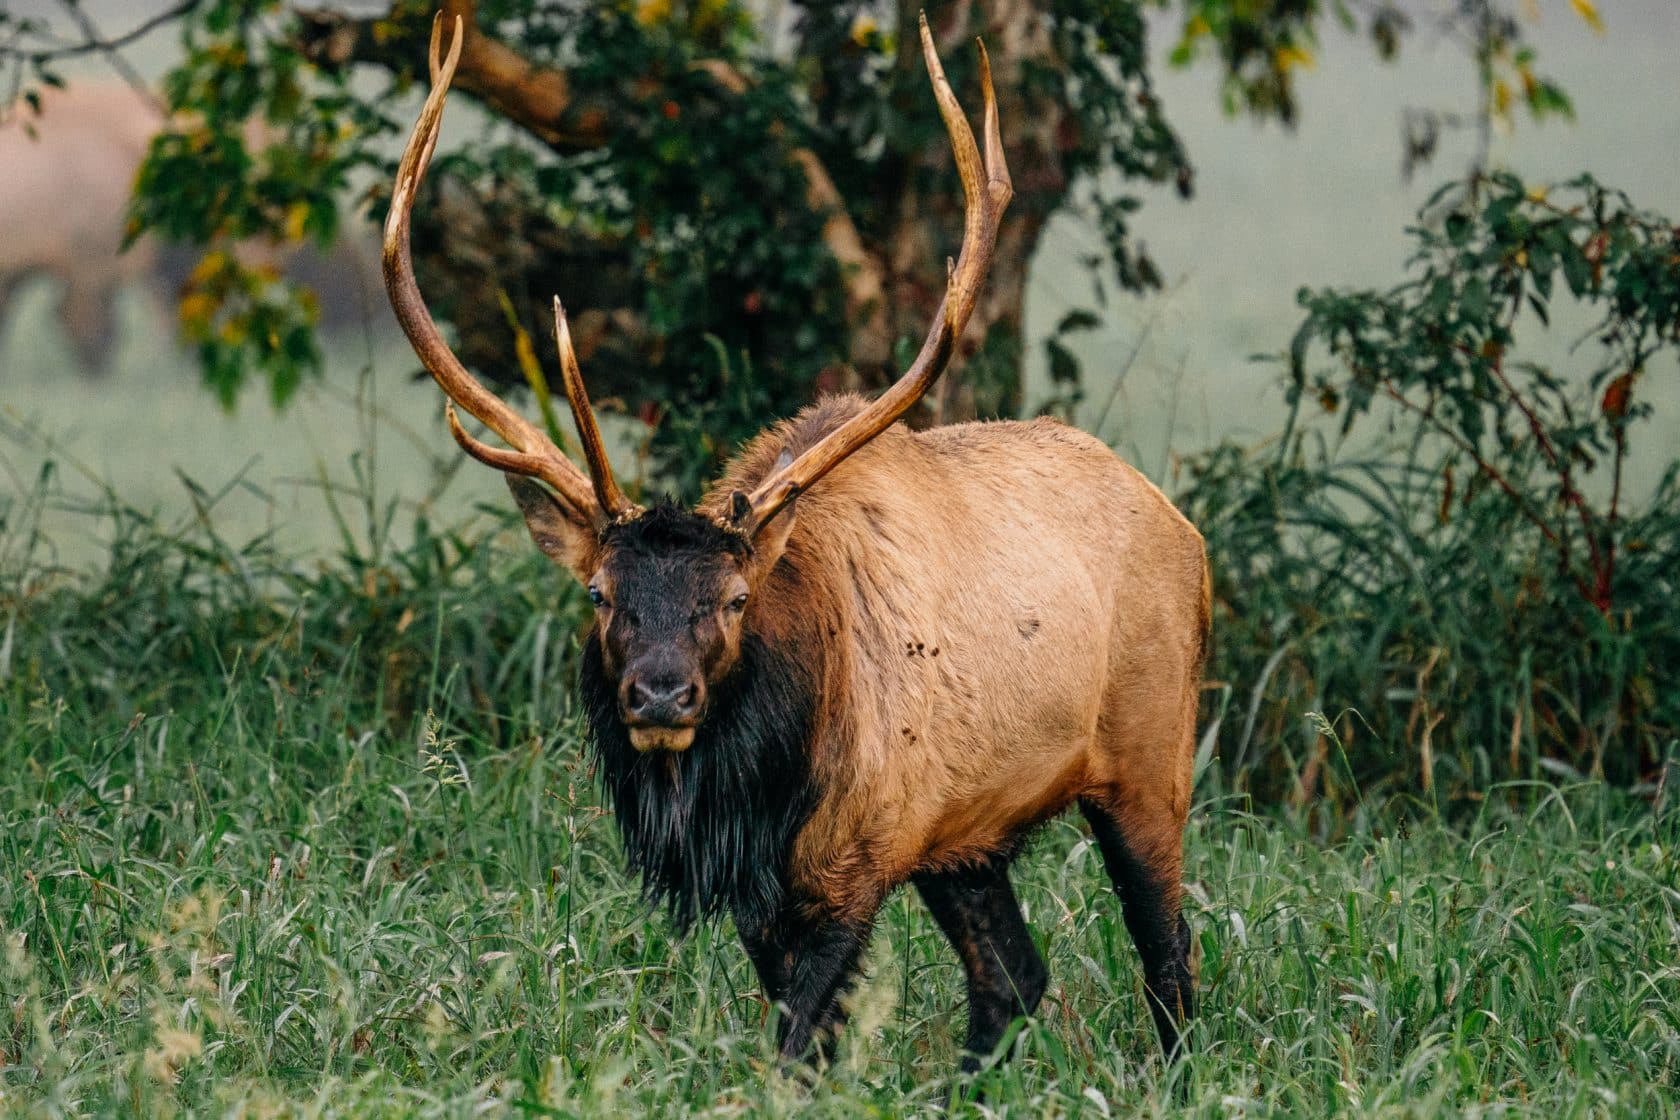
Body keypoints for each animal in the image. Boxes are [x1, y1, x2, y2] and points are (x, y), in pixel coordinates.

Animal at [384, 14, 1209, 1078]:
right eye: (602, 594)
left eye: (735, 599)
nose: (660, 695)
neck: (752, 797)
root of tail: (1185, 531)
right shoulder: (773, 890)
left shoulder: (856, 859)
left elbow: (797, 1046)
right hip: (968, 832)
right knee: (1015, 979)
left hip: (1151, 759)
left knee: (1169, 956)